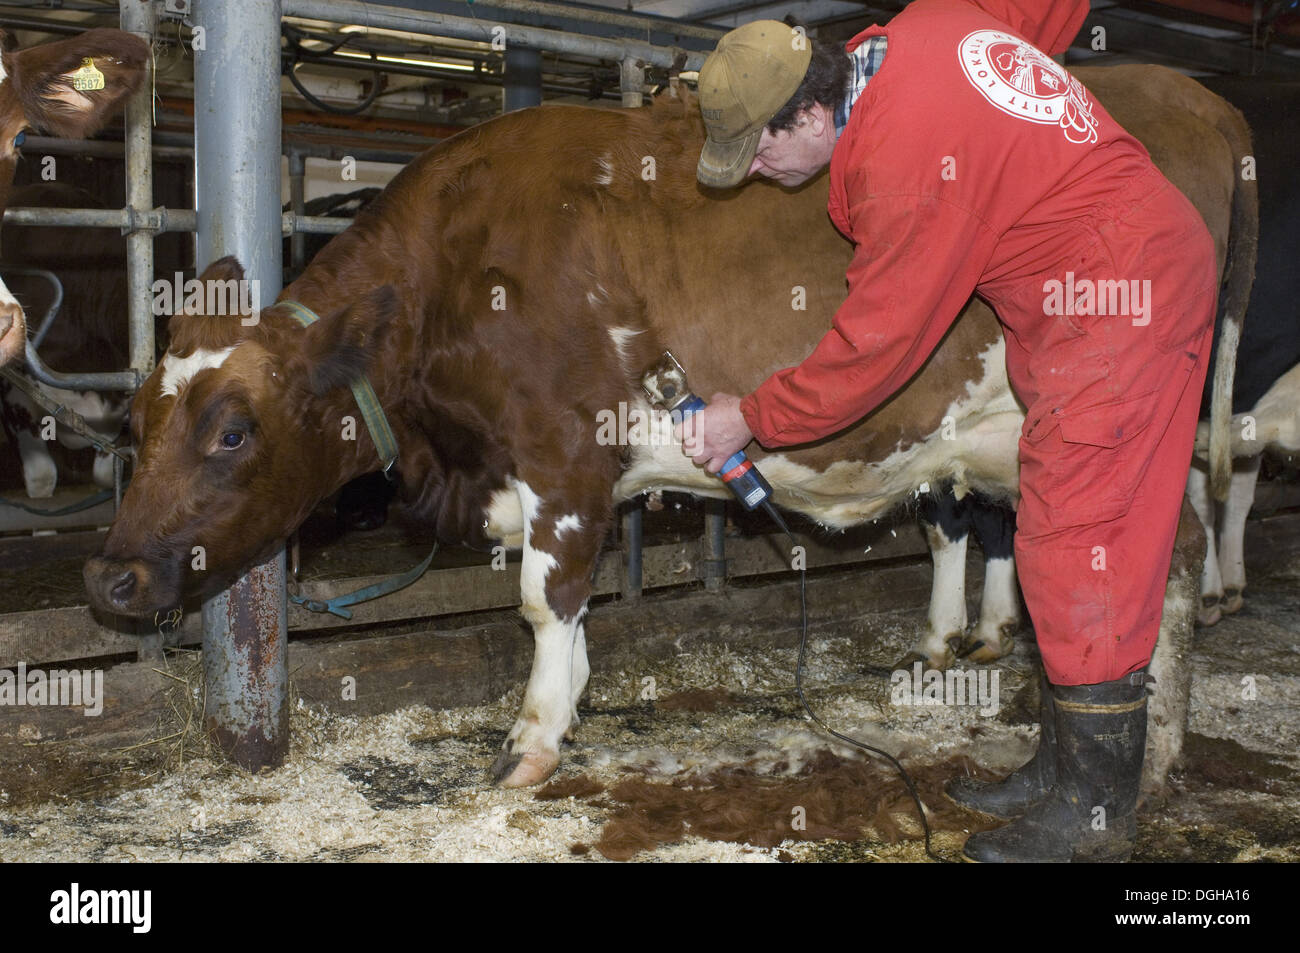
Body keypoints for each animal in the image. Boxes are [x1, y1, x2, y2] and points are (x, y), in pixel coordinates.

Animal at [84, 67, 1244, 796]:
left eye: (233, 432)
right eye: (136, 416)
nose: (110, 575)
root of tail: (1187, 95)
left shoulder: (562, 455)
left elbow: (543, 601)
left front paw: (530, 743)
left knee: (1168, 564)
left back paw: (1145, 767)